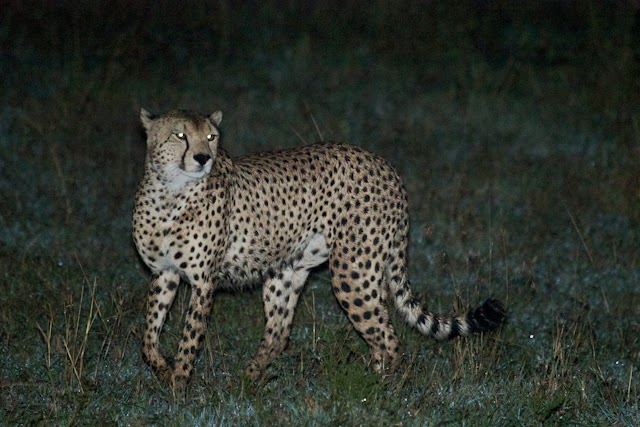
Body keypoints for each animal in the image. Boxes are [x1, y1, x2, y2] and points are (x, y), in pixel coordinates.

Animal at [132, 108, 506, 390]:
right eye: (180, 135)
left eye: (211, 137)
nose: (203, 158)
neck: (171, 193)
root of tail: (385, 166)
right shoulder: (163, 274)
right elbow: (148, 334)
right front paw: (162, 368)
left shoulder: (203, 282)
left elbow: (190, 337)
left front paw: (179, 384)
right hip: (287, 271)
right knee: (280, 334)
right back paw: (248, 379)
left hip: (352, 273)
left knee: (386, 336)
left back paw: (379, 390)